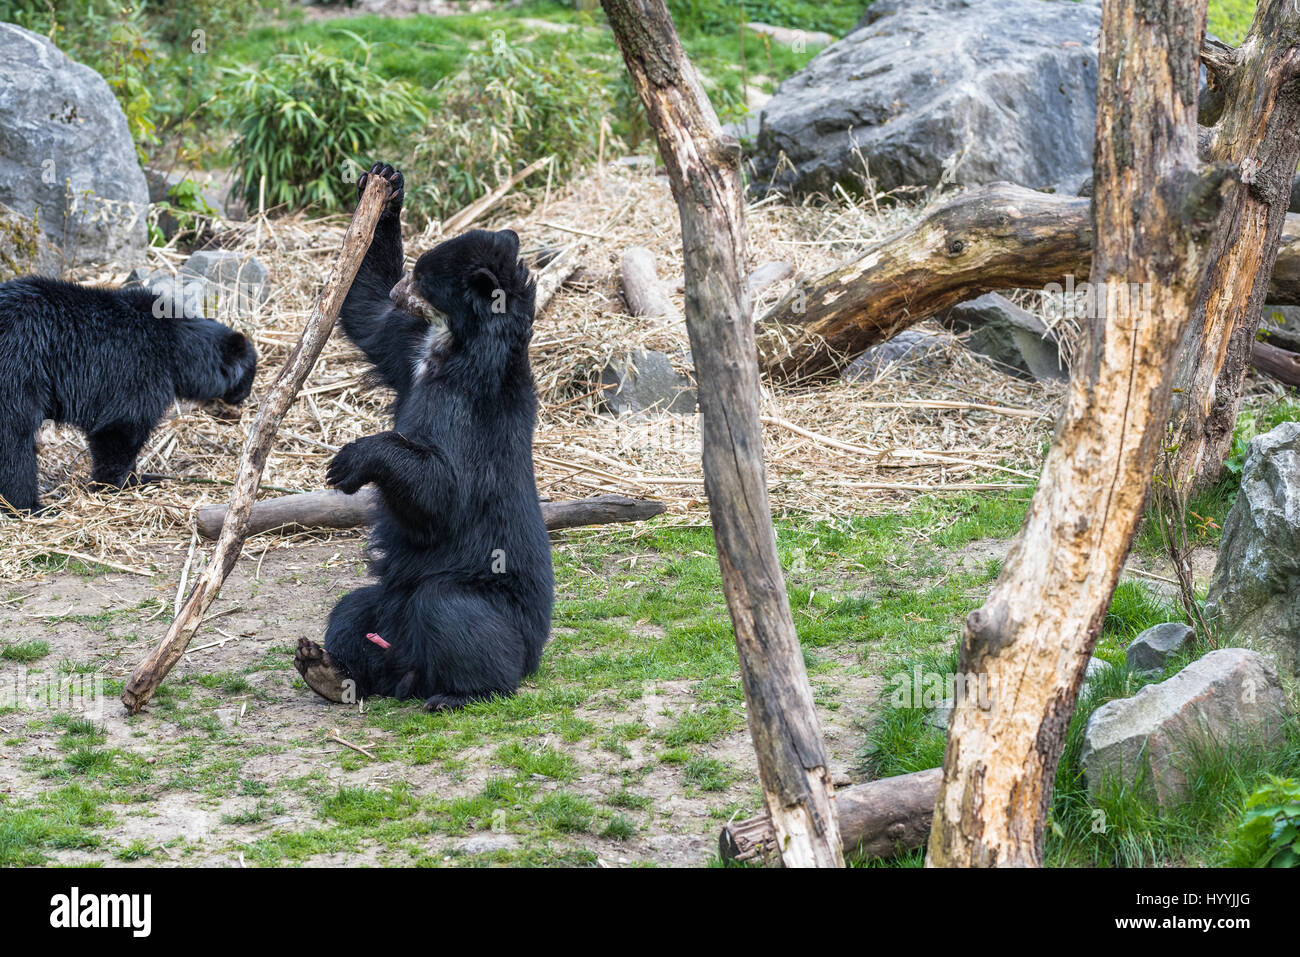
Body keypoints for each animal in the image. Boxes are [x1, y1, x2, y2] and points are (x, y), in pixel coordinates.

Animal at [0, 276, 256, 514]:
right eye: (250, 375)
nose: (243, 398)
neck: (176, 348)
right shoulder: (137, 368)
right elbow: (121, 426)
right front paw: (116, 484)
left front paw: (139, 479)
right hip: (19, 367)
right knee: (14, 437)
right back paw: (28, 506)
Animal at [295, 162, 553, 712]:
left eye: (420, 278)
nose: (401, 291)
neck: (455, 349)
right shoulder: (410, 351)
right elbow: (369, 315)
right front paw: (385, 186)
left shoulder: (470, 411)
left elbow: (442, 489)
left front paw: (348, 461)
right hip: (384, 604)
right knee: (351, 610)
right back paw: (329, 669)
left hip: (485, 608)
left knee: (450, 611)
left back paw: (458, 693)